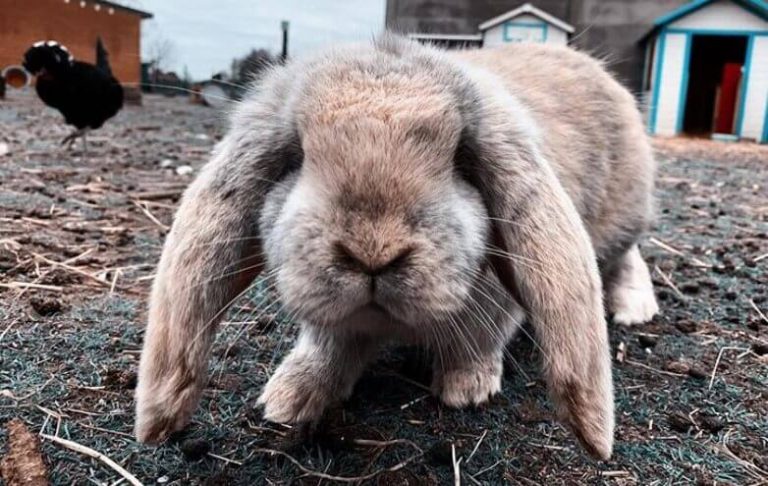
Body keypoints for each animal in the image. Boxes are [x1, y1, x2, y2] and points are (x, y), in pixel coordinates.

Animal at [134, 34, 658, 460]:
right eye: (296, 156)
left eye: (461, 158)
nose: (373, 251)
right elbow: (327, 347)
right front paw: (287, 399)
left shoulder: (497, 300)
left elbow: (478, 340)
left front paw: (465, 388)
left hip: (622, 215)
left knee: (626, 256)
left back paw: (635, 309)